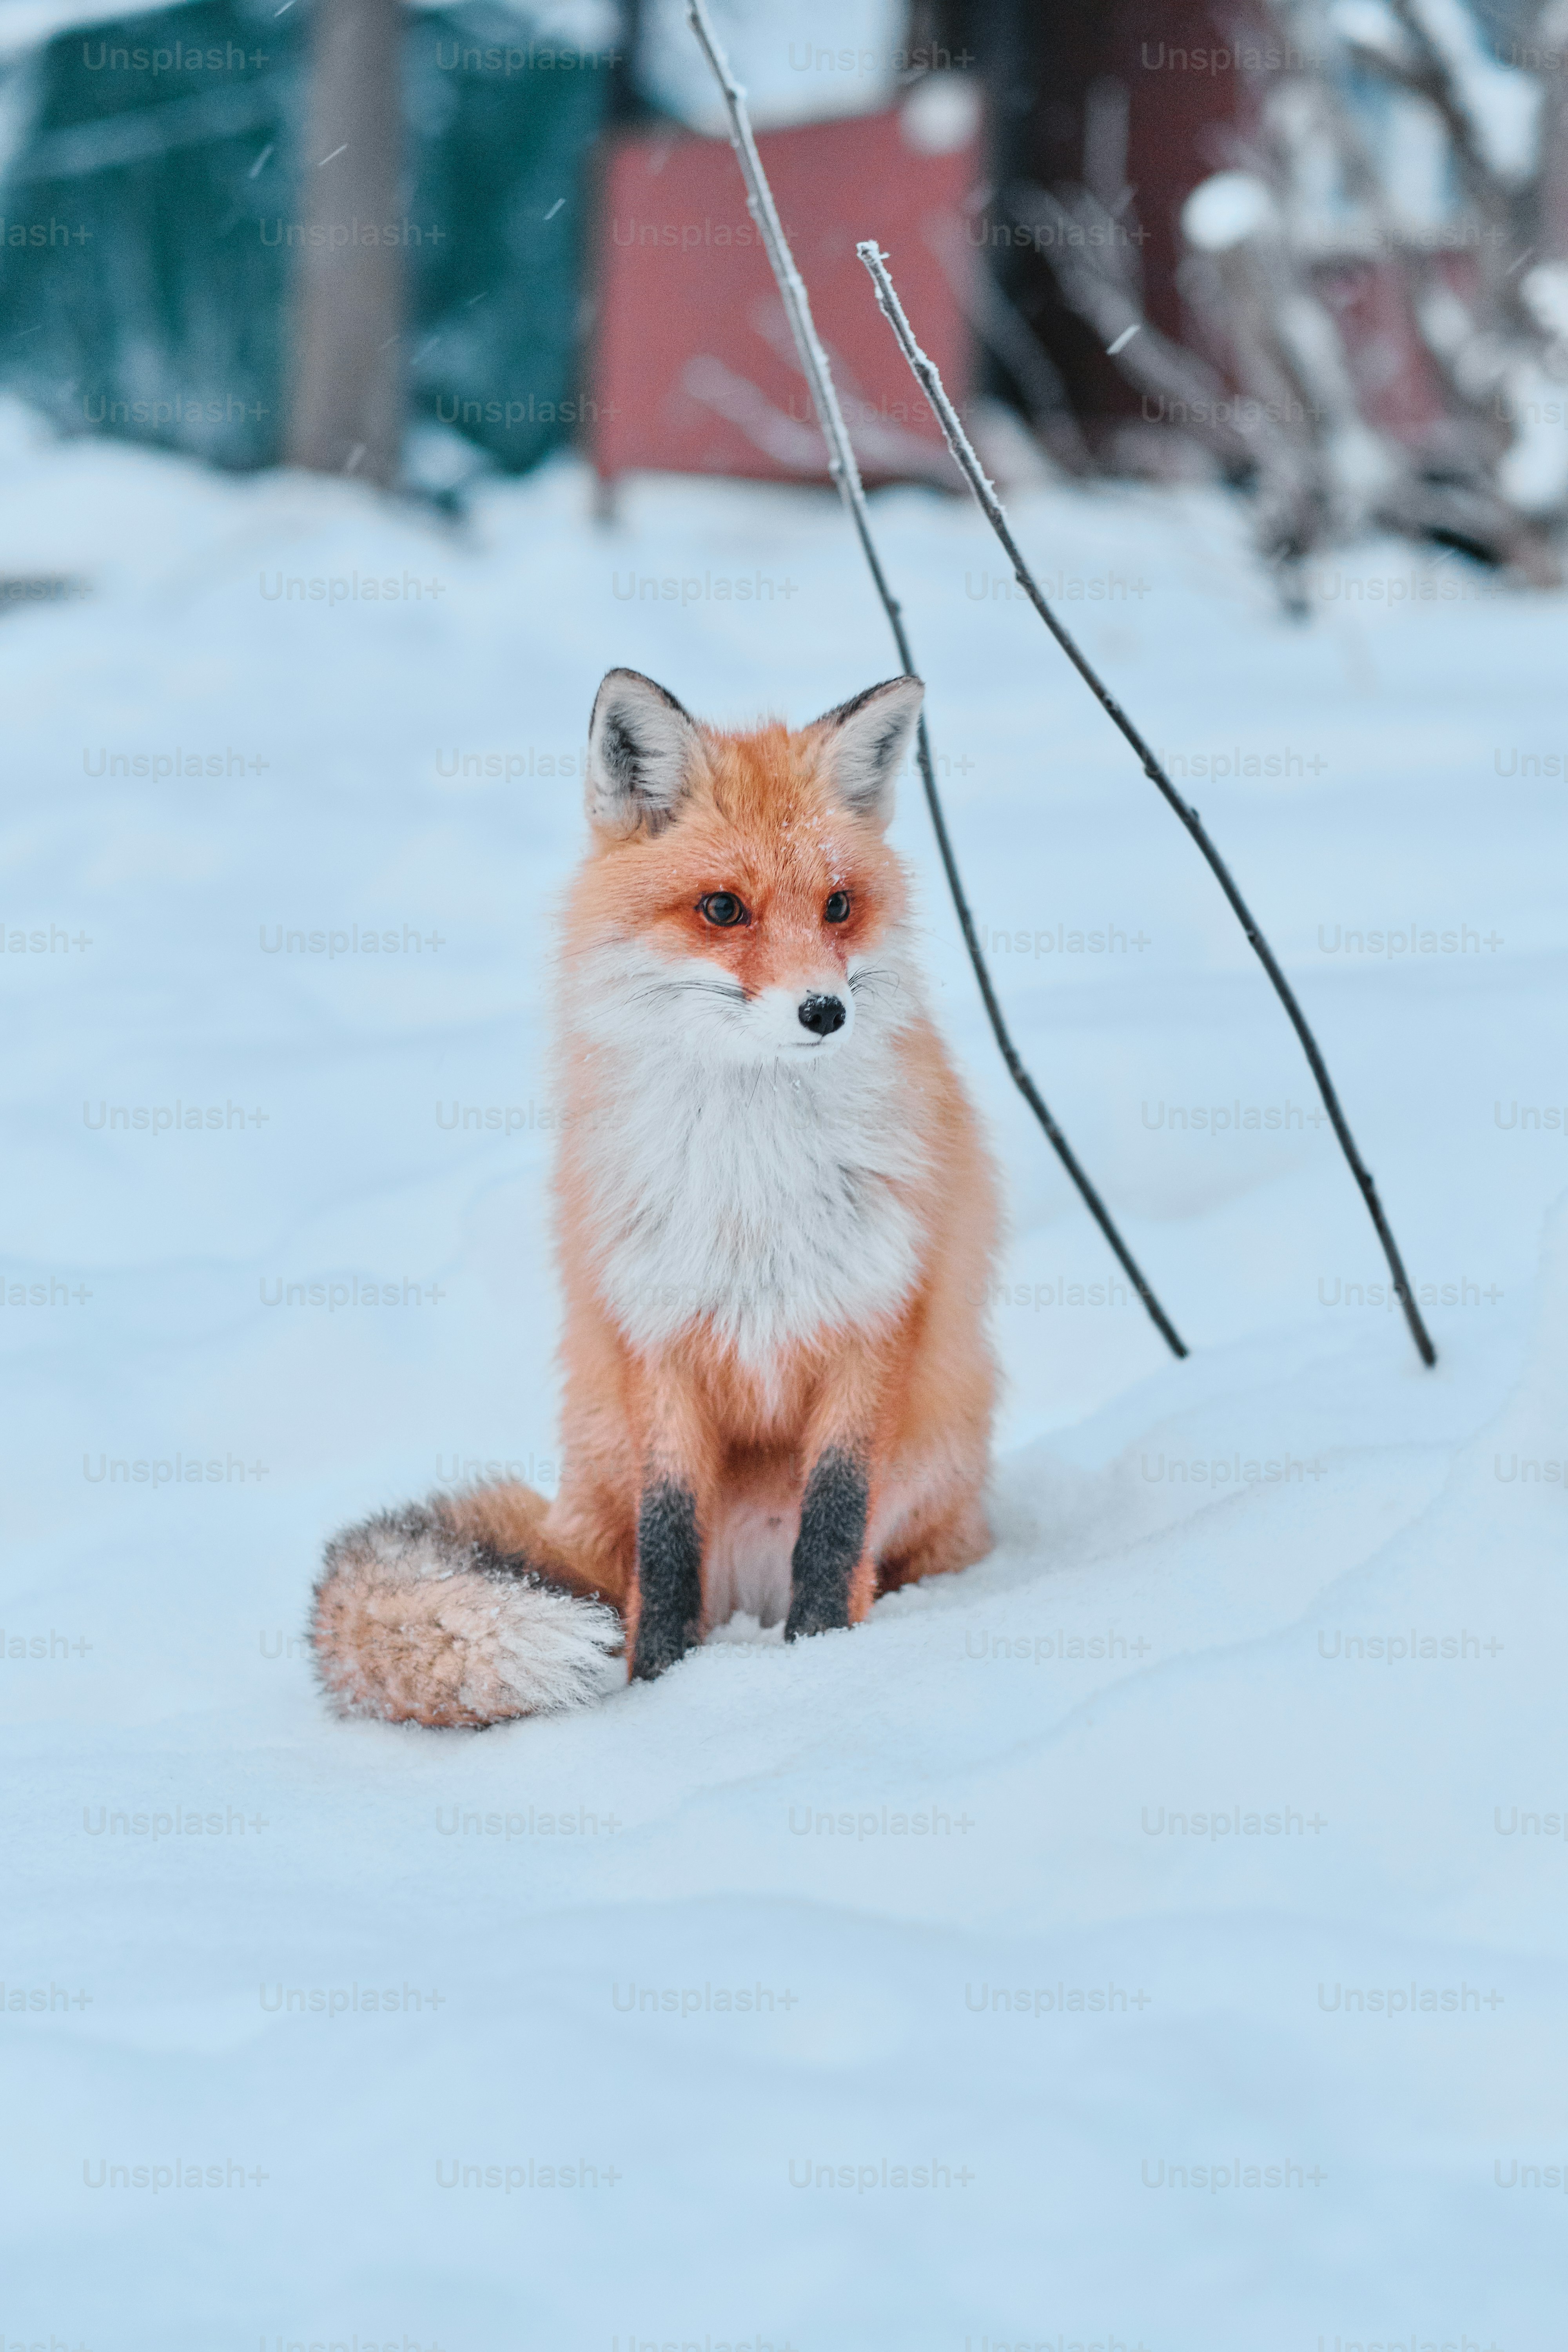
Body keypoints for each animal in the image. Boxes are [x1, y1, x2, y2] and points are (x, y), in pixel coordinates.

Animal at [310, 666, 1000, 1727]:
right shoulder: (659, 1337)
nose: (825, 1011)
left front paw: (822, 1661)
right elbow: (670, 1543)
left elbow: (835, 1527)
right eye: (722, 909)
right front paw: (661, 1690)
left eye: (839, 904)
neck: (754, 1183)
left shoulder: (872, 1319)